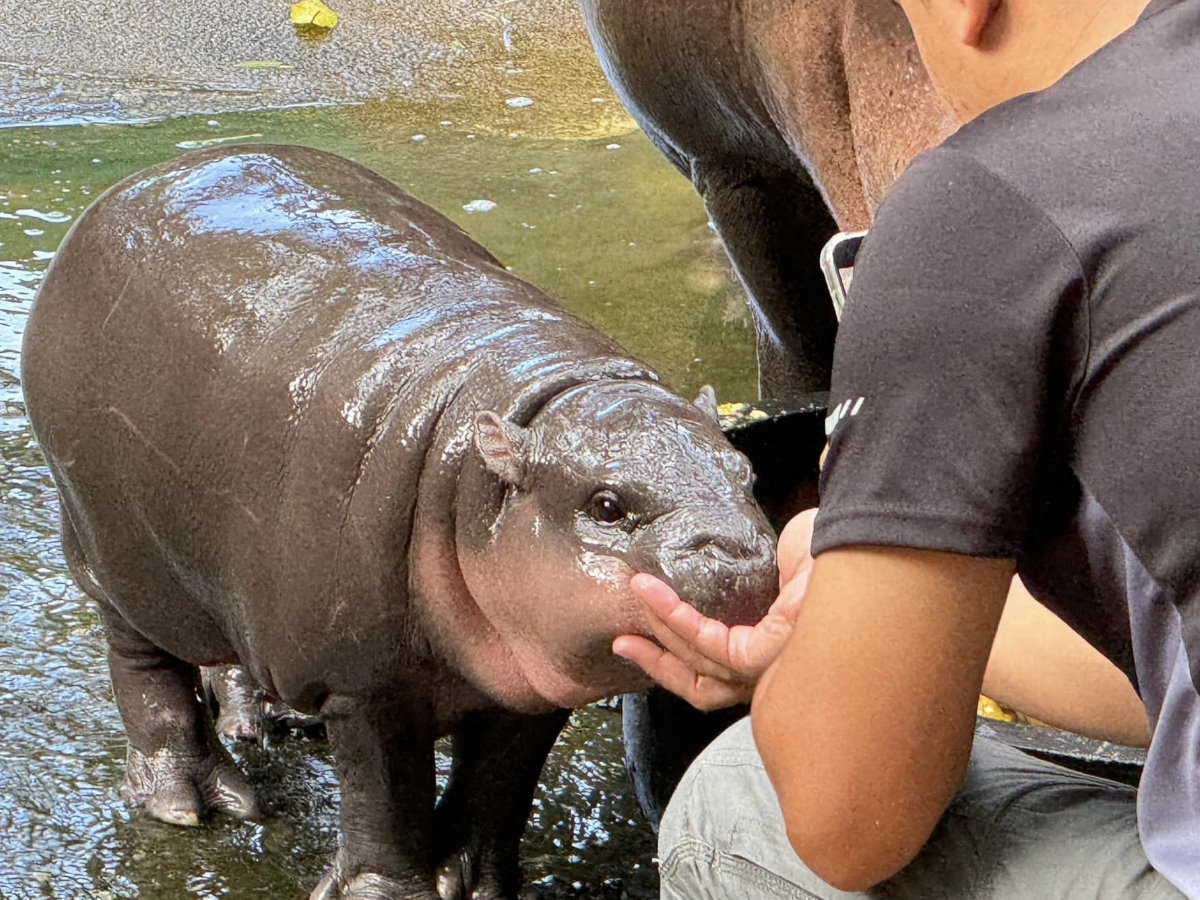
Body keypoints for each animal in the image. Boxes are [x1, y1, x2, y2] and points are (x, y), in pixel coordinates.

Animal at [21, 145, 778, 900]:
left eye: (745, 472)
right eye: (607, 506)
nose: (742, 558)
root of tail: (130, 186)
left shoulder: (532, 680)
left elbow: (499, 785)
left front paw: (478, 886)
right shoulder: (365, 684)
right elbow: (386, 798)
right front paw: (393, 891)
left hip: (216, 562)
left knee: (222, 645)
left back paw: (259, 724)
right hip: (113, 550)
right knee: (143, 663)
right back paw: (197, 802)